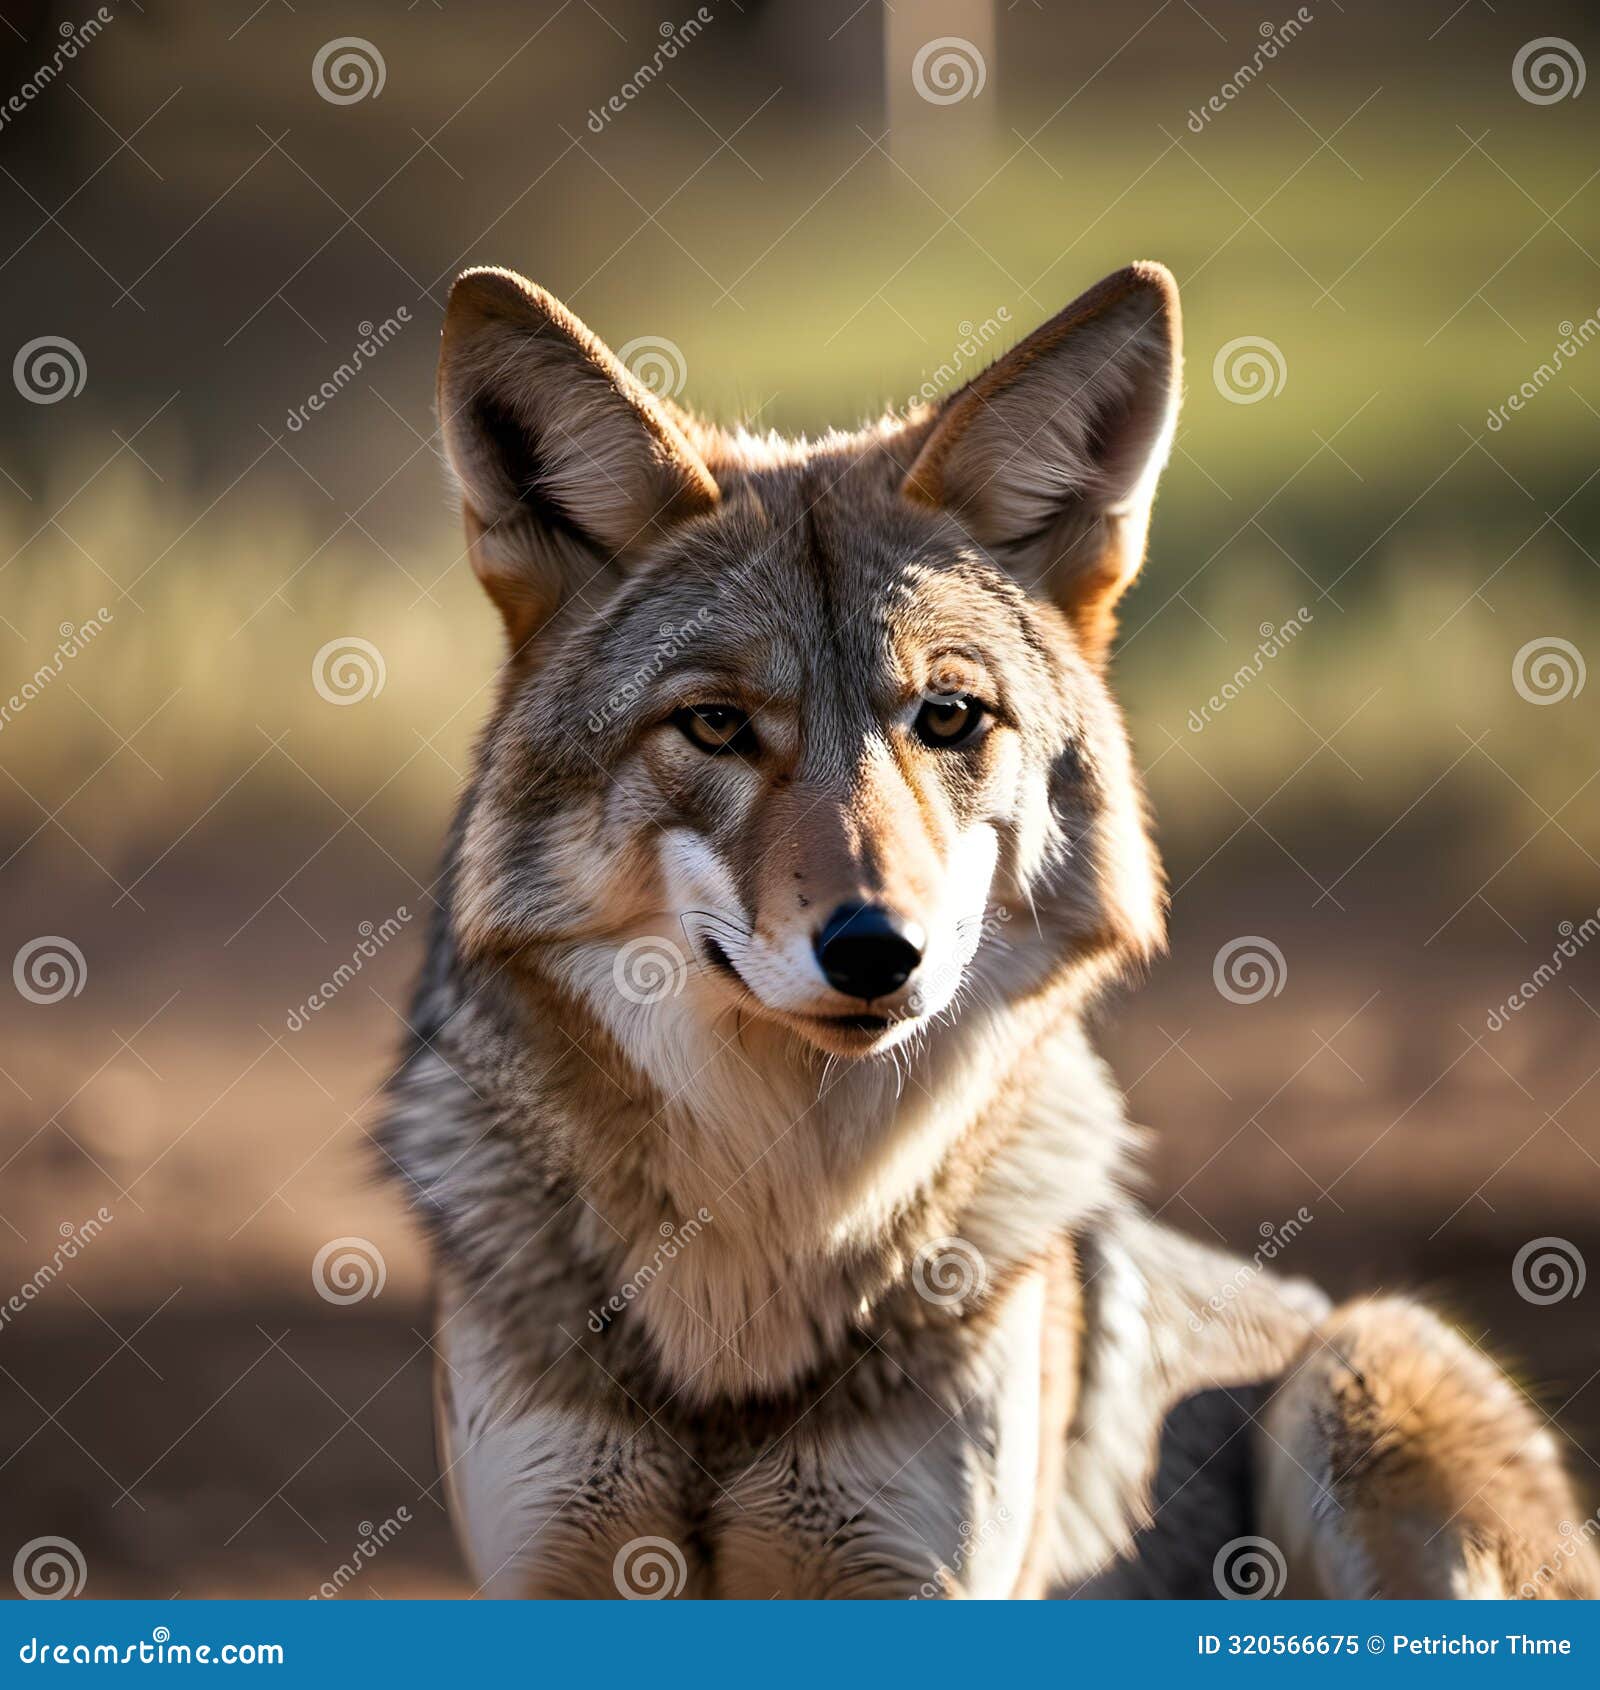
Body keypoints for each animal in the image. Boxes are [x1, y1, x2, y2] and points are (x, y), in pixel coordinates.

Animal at [376, 260, 1598, 1600]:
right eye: (715, 725)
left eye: (949, 715)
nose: (876, 949)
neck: (759, 1264)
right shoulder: (554, 1570)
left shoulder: (919, 1581)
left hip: (1363, 1364)